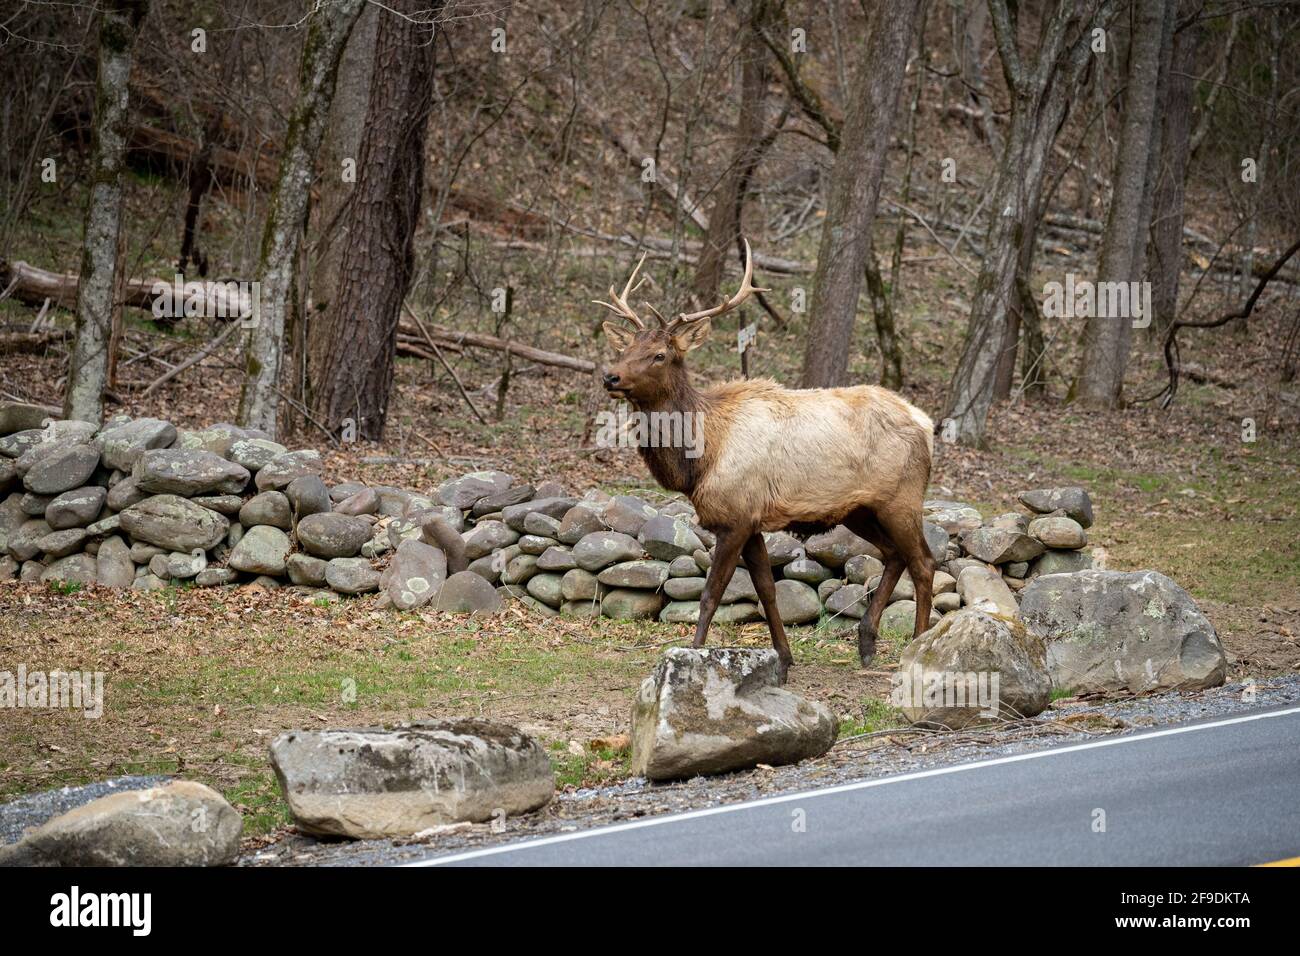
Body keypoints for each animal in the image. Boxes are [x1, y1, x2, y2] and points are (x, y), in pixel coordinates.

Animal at [597, 241, 936, 679]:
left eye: (659, 355)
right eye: (624, 349)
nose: (611, 376)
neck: (700, 458)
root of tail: (926, 424)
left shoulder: (736, 518)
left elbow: (711, 594)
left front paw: (691, 656)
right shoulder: (753, 521)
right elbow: (767, 591)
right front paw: (784, 661)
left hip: (902, 499)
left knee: (924, 562)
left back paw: (919, 645)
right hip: (860, 509)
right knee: (895, 555)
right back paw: (866, 643)